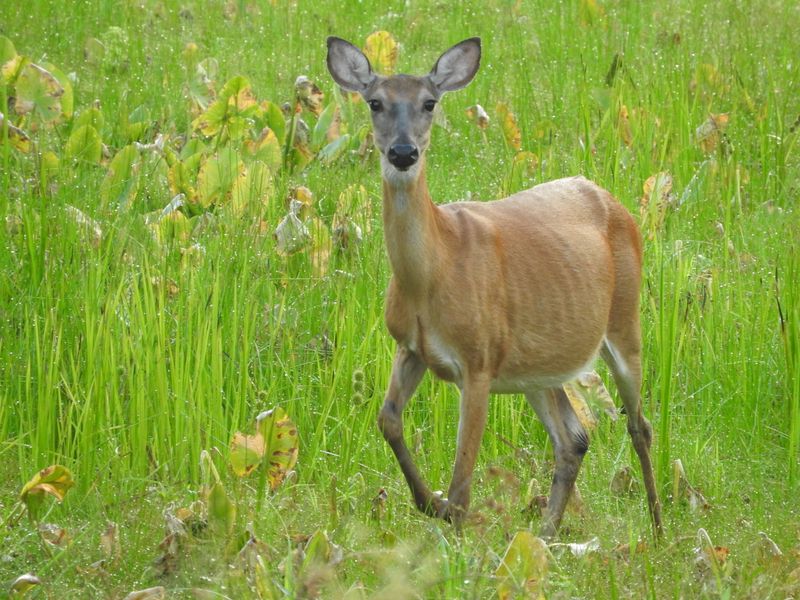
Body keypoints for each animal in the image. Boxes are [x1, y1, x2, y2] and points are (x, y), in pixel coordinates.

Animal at [326, 36, 663, 538]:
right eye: (375, 103)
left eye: (429, 103)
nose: (403, 153)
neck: (434, 272)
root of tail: (611, 199)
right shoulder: (410, 346)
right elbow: (388, 420)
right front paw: (428, 502)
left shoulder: (478, 359)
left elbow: (464, 477)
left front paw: (451, 522)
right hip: (537, 364)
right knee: (573, 438)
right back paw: (544, 535)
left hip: (624, 320)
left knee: (639, 424)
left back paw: (659, 529)